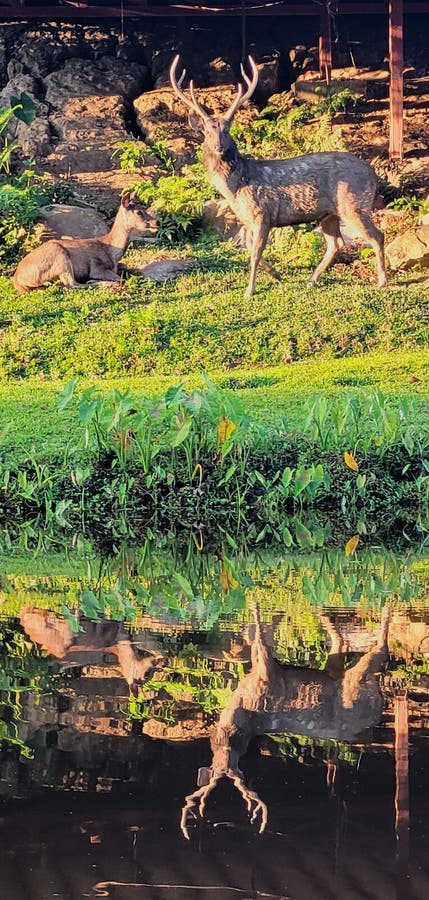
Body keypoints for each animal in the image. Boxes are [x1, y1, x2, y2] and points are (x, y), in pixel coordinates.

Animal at [13, 192, 157, 293]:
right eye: (139, 212)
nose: (157, 222)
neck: (112, 252)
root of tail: (17, 279)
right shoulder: (96, 266)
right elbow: (119, 277)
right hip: (60, 257)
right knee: (71, 284)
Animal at [170, 56, 387, 297]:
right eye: (207, 132)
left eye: (226, 130)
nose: (218, 147)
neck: (235, 190)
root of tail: (373, 175)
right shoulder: (247, 219)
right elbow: (248, 247)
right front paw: (276, 275)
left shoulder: (262, 214)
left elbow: (255, 253)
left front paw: (250, 290)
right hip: (330, 213)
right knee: (336, 243)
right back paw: (312, 279)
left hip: (354, 204)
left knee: (376, 235)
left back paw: (382, 280)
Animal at [180, 603, 390, 838]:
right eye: (215, 760)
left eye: (237, 745)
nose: (225, 758)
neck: (241, 701)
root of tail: (376, 713)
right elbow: (265, 631)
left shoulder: (266, 673)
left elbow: (261, 635)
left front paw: (255, 607)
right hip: (340, 672)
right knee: (342, 646)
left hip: (357, 682)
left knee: (380, 649)